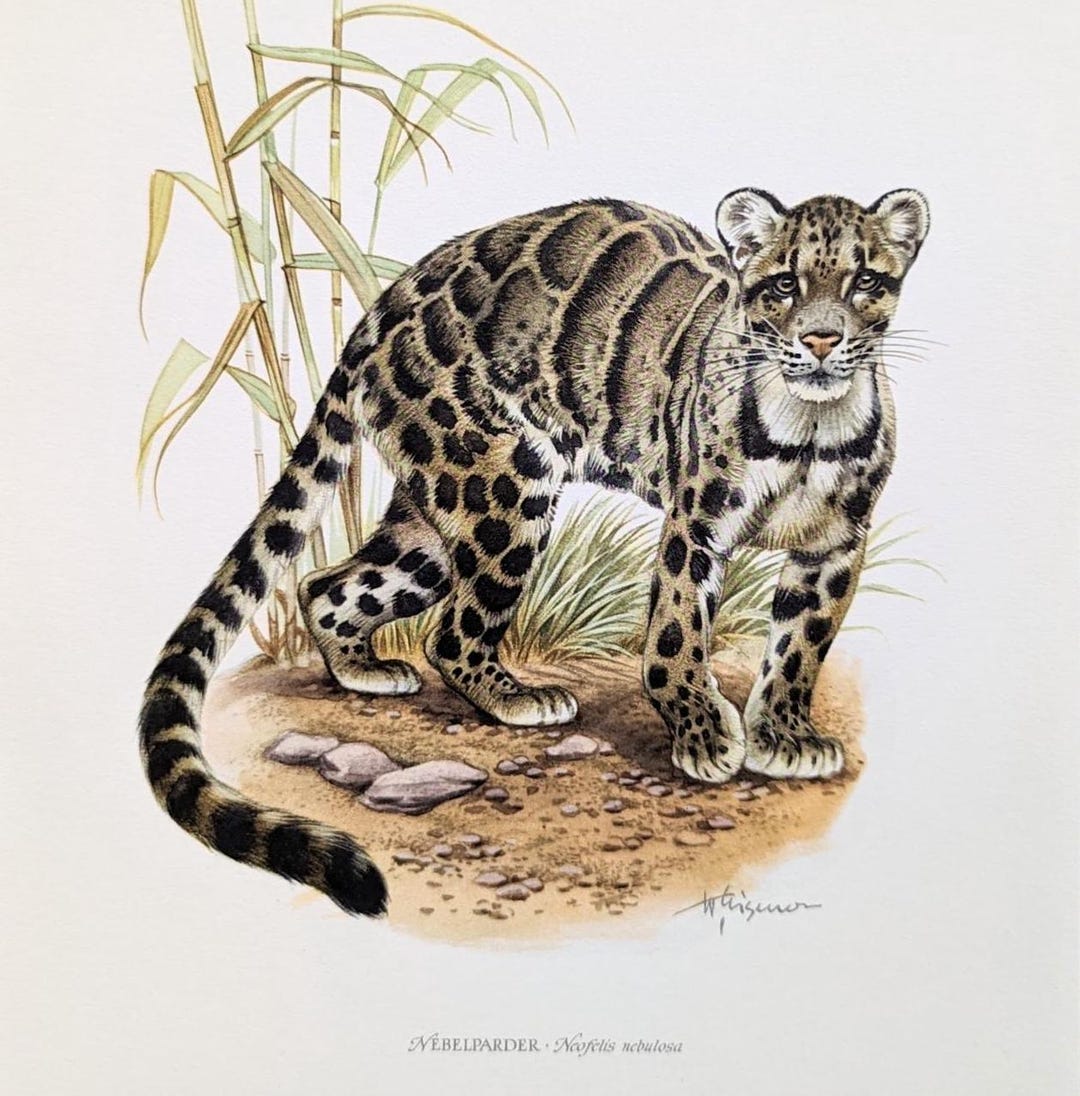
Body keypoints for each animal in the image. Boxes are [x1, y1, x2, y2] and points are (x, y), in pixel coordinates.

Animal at [139, 187, 930, 916]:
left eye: (864, 280)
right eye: (784, 285)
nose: (822, 340)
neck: (812, 425)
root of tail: (387, 302)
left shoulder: (833, 547)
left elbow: (800, 648)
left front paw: (786, 735)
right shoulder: (696, 528)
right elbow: (676, 637)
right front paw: (705, 736)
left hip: (433, 524)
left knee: (329, 586)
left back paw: (365, 670)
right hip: (503, 486)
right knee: (453, 631)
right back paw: (519, 698)